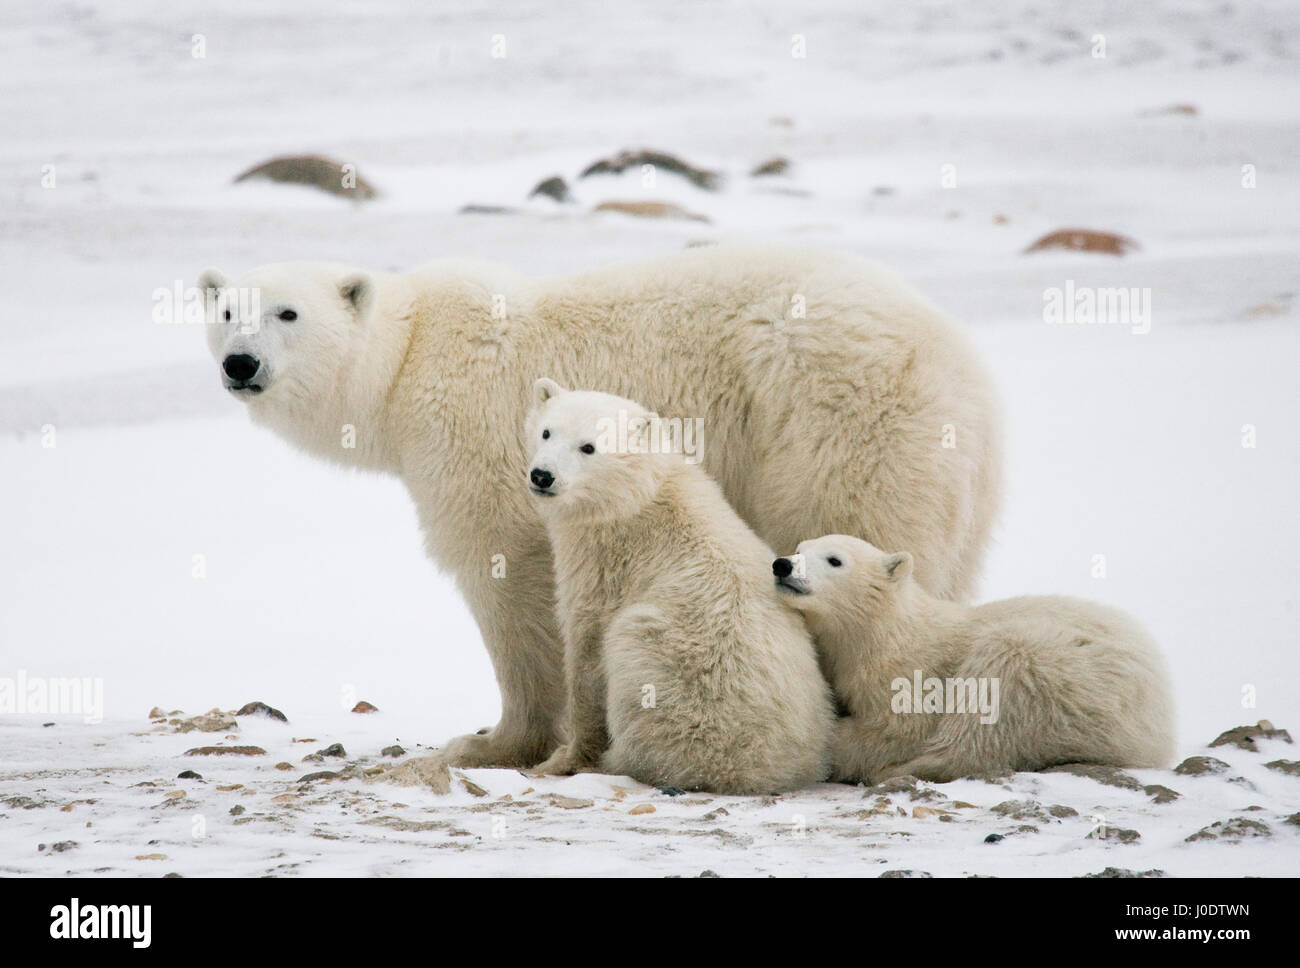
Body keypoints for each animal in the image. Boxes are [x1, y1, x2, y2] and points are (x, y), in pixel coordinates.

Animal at [525, 379, 834, 793]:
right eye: (547, 432)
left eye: (588, 447)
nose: (542, 476)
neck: (639, 495)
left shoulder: (604, 562)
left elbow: (587, 646)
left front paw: (563, 757)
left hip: (672, 678)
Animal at [772, 535, 1175, 783]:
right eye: (799, 547)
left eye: (834, 560)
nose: (782, 565)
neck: (884, 634)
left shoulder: (912, 674)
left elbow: (895, 731)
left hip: (1069, 674)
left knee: (989, 706)